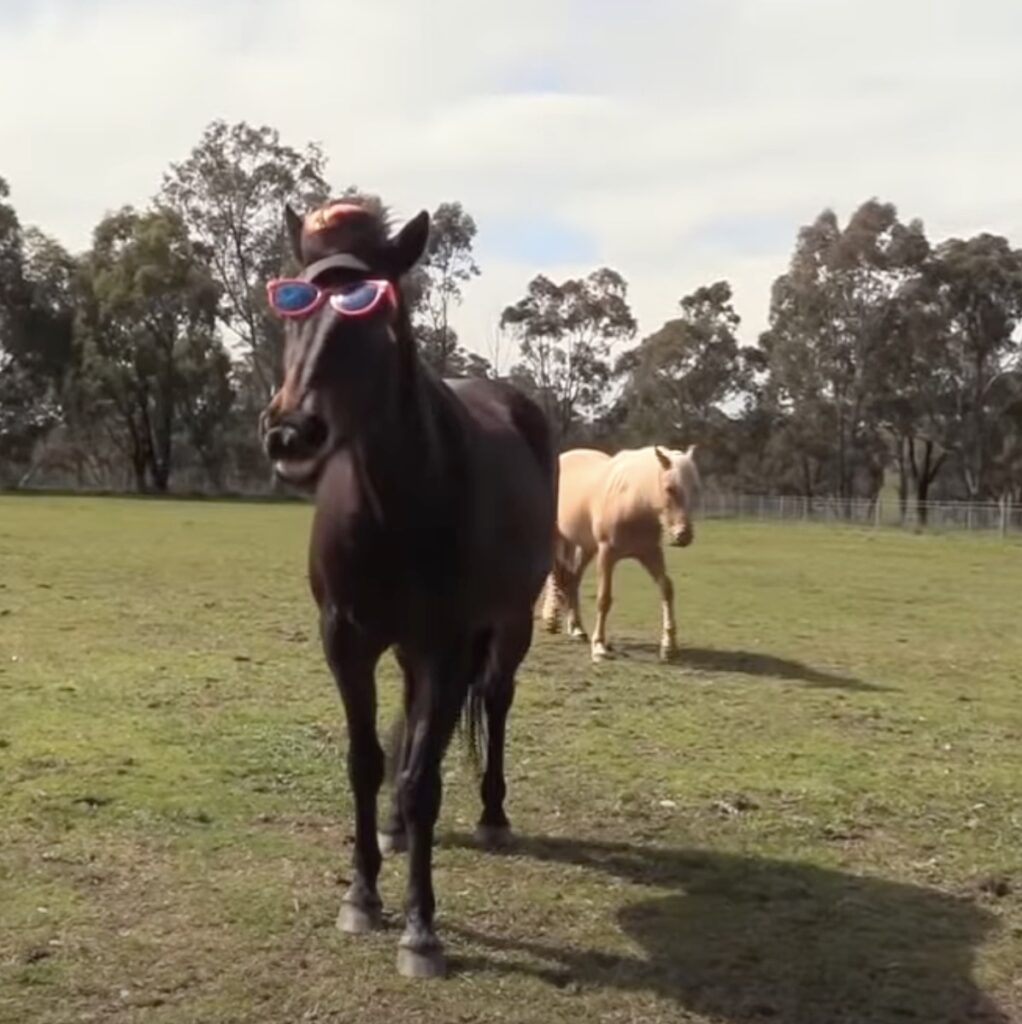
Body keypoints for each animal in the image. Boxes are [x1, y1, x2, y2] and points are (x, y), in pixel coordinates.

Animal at [257, 197, 557, 979]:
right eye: (294, 304)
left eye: (368, 309)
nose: (291, 433)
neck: (396, 502)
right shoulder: (346, 639)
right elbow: (366, 762)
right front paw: (362, 894)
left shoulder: (448, 644)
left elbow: (425, 780)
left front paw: (421, 929)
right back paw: (393, 827)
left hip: (508, 626)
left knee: (495, 704)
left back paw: (492, 816)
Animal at [540, 445, 700, 663]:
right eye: (670, 488)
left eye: (695, 489)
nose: (683, 536)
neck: (634, 499)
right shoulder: (607, 555)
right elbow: (604, 599)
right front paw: (599, 647)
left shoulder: (650, 553)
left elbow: (666, 588)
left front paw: (669, 646)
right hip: (557, 539)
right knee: (559, 577)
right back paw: (554, 621)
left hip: (587, 547)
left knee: (572, 580)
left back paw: (577, 629)